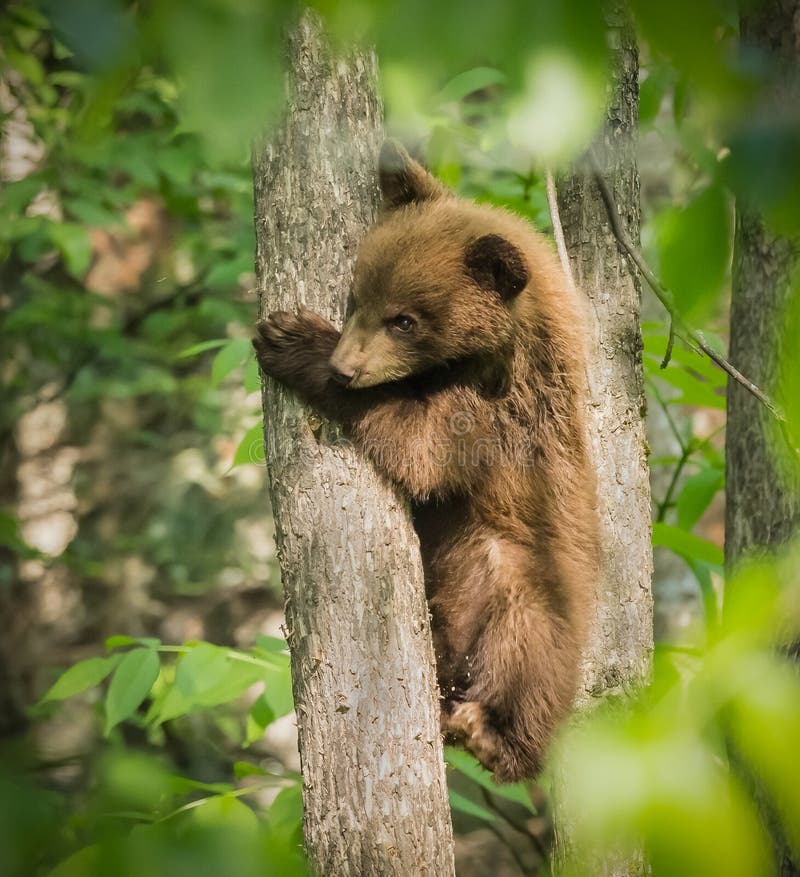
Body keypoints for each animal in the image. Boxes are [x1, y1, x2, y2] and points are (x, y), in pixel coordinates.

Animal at [253, 141, 598, 782]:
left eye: (405, 319)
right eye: (357, 298)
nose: (345, 367)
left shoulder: (500, 419)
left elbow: (422, 448)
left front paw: (292, 340)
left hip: (524, 585)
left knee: (528, 656)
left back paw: (492, 736)